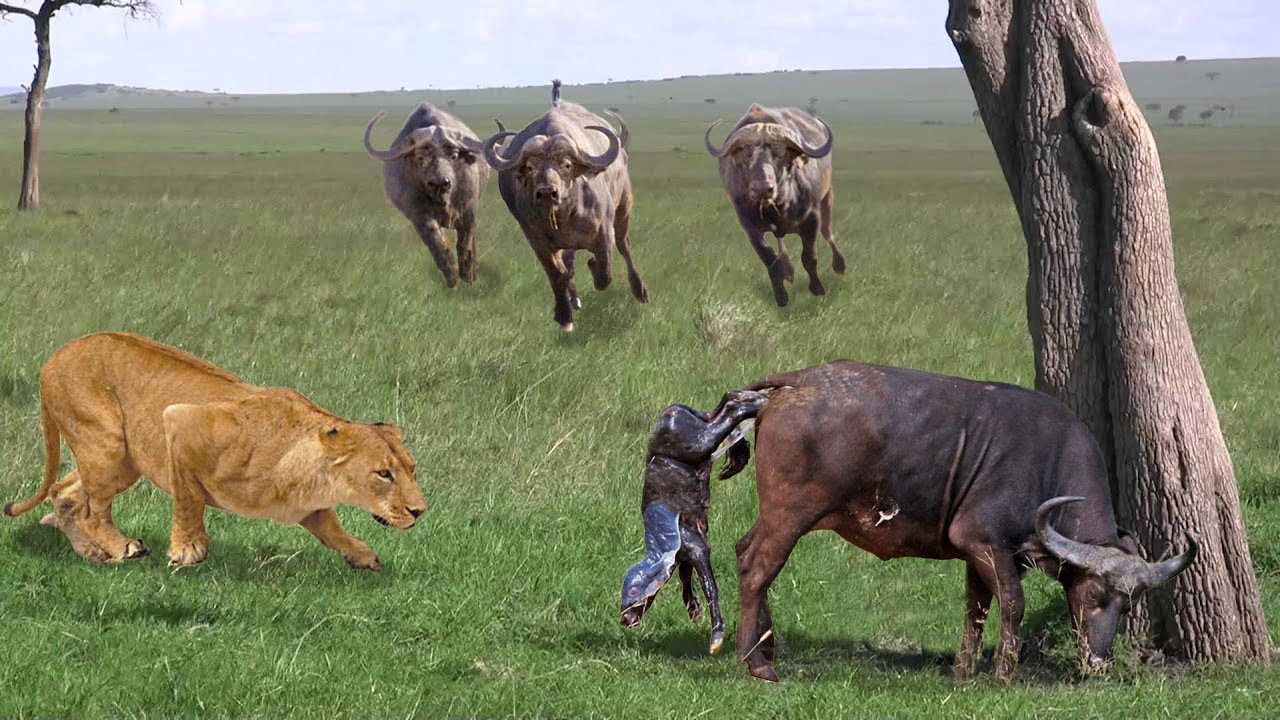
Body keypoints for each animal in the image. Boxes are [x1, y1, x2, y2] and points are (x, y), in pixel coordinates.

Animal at [3, 332, 426, 571]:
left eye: (412, 469)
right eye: (383, 473)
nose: (420, 511)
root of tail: (54, 357)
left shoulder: (309, 505)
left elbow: (331, 527)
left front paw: (360, 554)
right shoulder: (179, 421)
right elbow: (188, 498)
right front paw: (188, 549)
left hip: (124, 461)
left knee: (65, 493)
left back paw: (92, 553)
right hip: (107, 443)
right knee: (93, 509)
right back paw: (121, 547)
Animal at [364, 103, 491, 288]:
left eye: (453, 156)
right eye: (420, 157)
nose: (440, 183)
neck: (444, 200)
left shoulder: (469, 213)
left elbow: (465, 247)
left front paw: (468, 280)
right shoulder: (420, 217)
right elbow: (439, 247)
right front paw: (453, 281)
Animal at [482, 81, 648, 331]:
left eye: (567, 165)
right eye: (529, 167)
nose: (546, 193)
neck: (567, 215)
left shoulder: (604, 233)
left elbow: (604, 273)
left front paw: (592, 265)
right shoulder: (537, 241)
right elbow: (557, 275)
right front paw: (564, 315)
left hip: (624, 207)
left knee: (624, 245)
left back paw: (639, 290)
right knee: (569, 263)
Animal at [706, 105, 845, 306]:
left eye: (780, 153)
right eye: (747, 152)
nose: (762, 188)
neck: (778, 206)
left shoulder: (812, 219)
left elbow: (809, 257)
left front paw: (817, 288)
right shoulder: (751, 230)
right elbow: (771, 262)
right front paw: (781, 296)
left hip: (827, 198)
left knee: (827, 233)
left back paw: (840, 265)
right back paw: (789, 271)